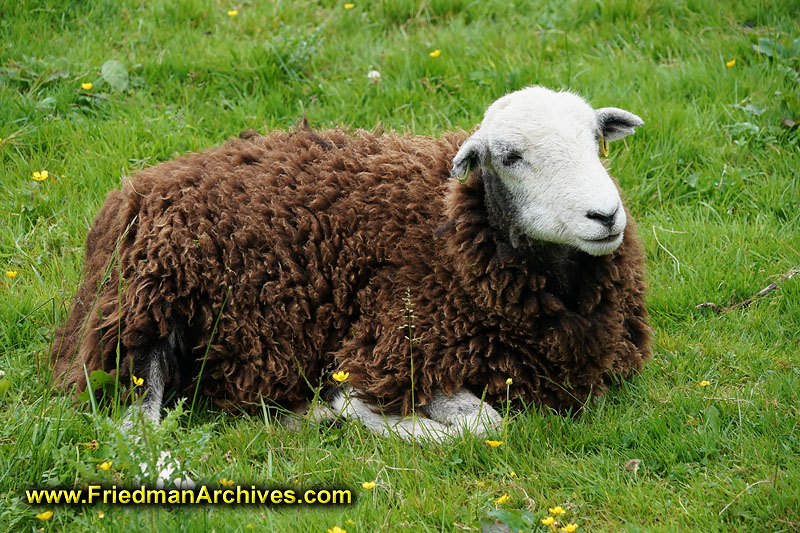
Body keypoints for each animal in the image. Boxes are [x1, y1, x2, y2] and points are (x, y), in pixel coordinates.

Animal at [51, 86, 651, 442]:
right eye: (510, 156)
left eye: (596, 140)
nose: (606, 215)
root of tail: (144, 183)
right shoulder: (392, 343)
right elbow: (481, 422)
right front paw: (346, 410)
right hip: (146, 311)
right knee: (138, 426)